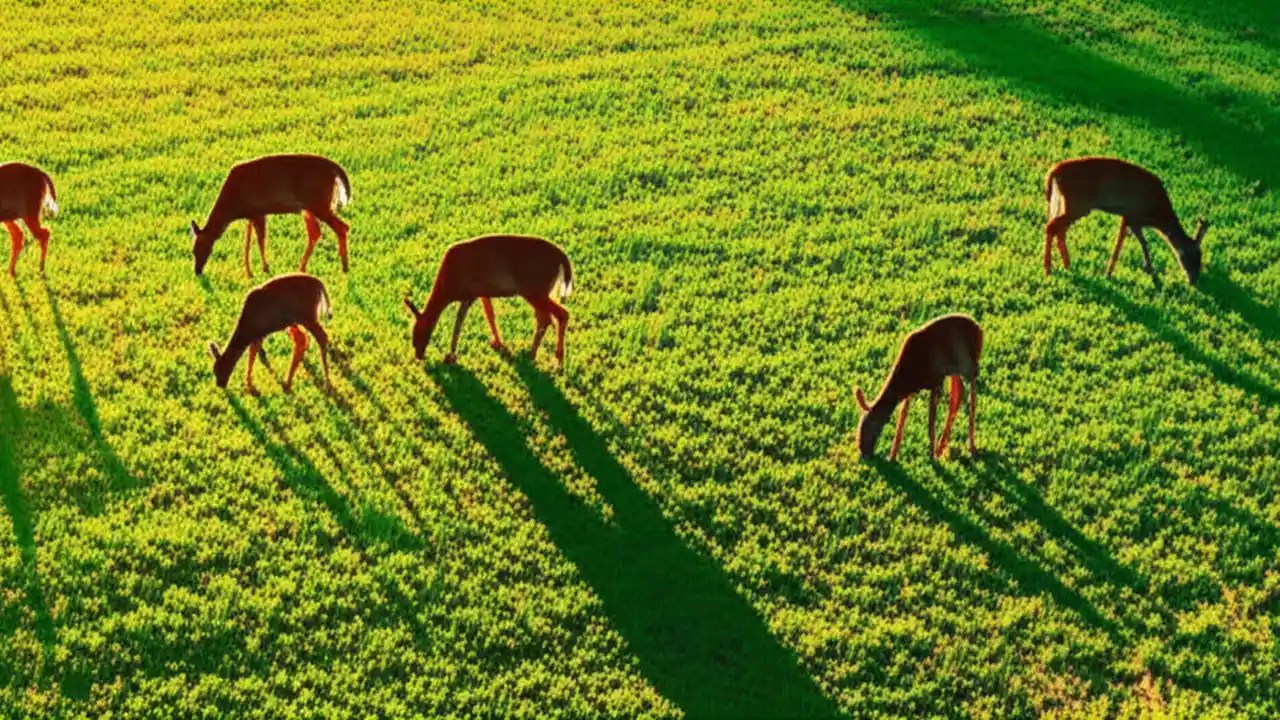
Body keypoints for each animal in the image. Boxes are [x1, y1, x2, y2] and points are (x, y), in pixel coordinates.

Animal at [191, 154, 351, 278]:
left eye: (204, 248)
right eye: (192, 251)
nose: (197, 271)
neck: (233, 206)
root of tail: (335, 169)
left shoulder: (257, 211)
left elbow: (260, 240)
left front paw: (263, 268)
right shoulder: (253, 214)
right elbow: (248, 240)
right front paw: (249, 272)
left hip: (318, 203)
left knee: (342, 227)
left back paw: (344, 267)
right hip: (308, 207)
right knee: (316, 232)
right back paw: (303, 268)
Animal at [403, 234, 573, 368]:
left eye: (420, 333)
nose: (418, 355)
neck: (447, 287)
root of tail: (562, 258)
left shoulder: (470, 294)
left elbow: (460, 322)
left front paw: (450, 356)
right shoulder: (481, 292)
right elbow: (489, 315)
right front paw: (498, 344)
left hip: (533, 290)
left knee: (560, 314)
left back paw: (556, 360)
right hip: (541, 291)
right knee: (544, 318)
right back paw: (532, 354)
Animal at [855, 314, 983, 461]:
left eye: (871, 427)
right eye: (859, 426)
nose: (863, 452)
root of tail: (980, 331)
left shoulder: (935, 380)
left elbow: (930, 422)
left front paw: (931, 457)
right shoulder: (911, 389)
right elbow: (902, 416)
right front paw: (892, 455)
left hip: (970, 366)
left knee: (972, 396)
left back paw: (971, 448)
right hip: (955, 371)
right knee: (958, 394)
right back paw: (942, 449)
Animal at [1044, 157, 1208, 285]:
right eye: (1195, 256)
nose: (1193, 281)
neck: (1158, 215)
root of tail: (1054, 171)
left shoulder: (1133, 219)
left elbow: (1142, 243)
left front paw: (1150, 272)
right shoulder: (1131, 215)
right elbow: (1122, 245)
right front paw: (1108, 274)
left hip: (1062, 202)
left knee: (1057, 229)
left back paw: (1066, 265)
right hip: (1078, 204)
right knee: (1052, 227)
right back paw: (1049, 269)